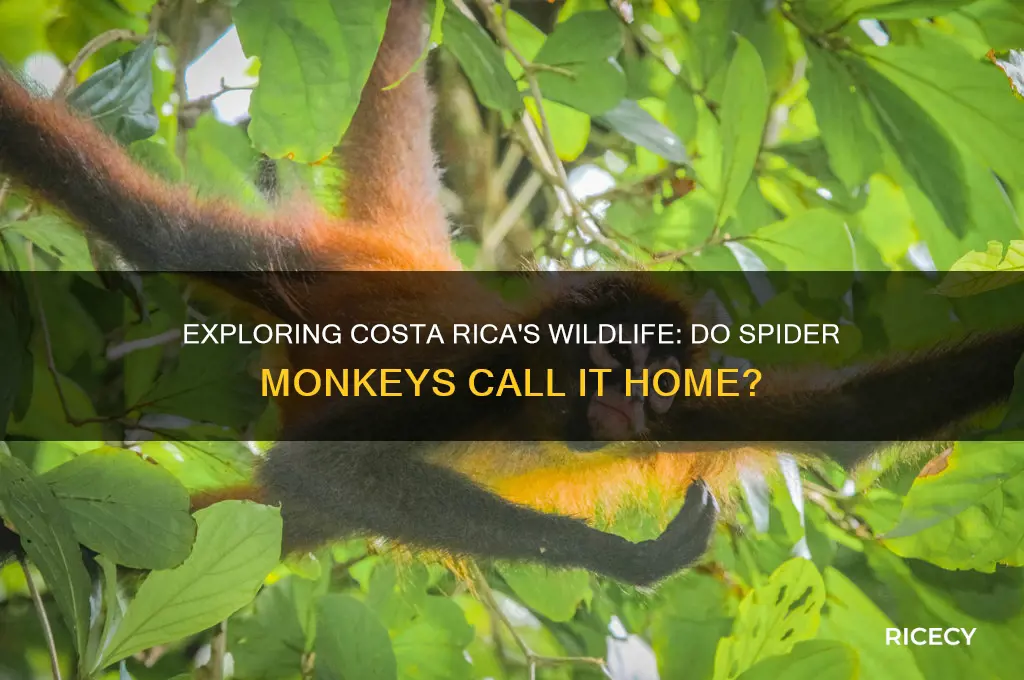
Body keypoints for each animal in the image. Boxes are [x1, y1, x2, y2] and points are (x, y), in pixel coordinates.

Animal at [2, 0, 1024, 586]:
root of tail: (408, 252)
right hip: (294, 261)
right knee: (151, 225)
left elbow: (853, 419)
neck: (544, 418)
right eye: (615, 365)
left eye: (657, 382)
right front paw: (625, 559)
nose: (632, 410)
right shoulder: (476, 372)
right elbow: (322, 462)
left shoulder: (698, 405)